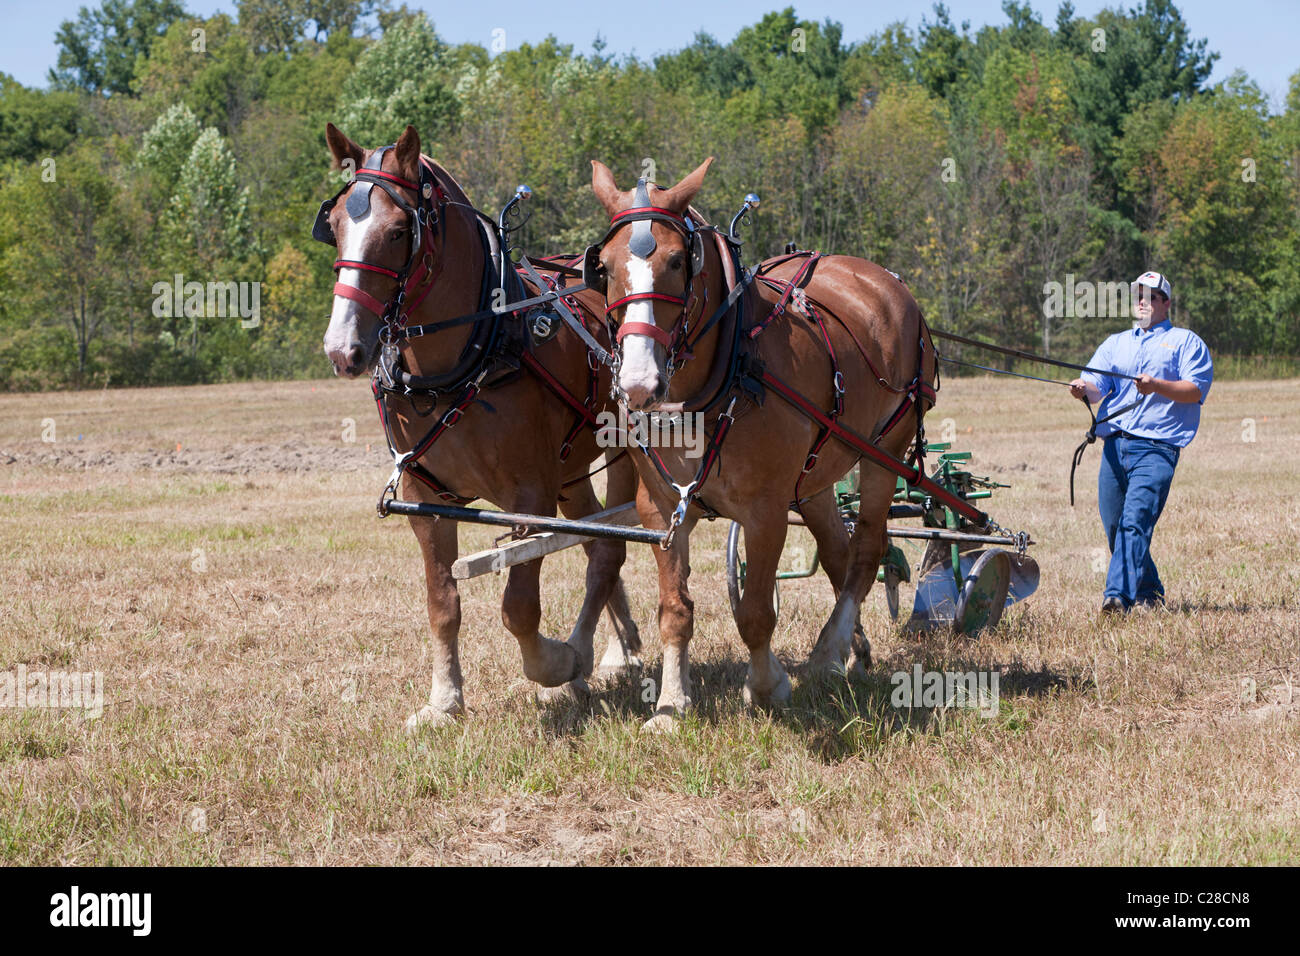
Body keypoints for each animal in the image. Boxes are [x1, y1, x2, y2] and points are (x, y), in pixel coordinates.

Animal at [316, 122, 643, 729]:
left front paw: (554, 663)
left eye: (398, 231)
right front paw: (444, 701)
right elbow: (442, 603)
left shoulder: (530, 496)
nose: (343, 349)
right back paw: (620, 649)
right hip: (570, 473)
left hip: (629, 455)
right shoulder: (425, 500)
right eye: (335, 226)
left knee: (612, 547)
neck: (474, 350)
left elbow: (519, 606)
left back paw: (584, 653)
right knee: (598, 546)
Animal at [586, 158, 940, 729]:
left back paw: (826, 651)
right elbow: (675, 611)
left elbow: (754, 613)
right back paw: (850, 652)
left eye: (678, 261)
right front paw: (671, 704)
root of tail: (882, 279)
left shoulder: (766, 512)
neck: (725, 375)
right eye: (605, 265)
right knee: (838, 555)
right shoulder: (662, 509)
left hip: (885, 452)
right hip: (815, 477)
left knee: (865, 551)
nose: (639, 384)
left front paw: (767, 684)